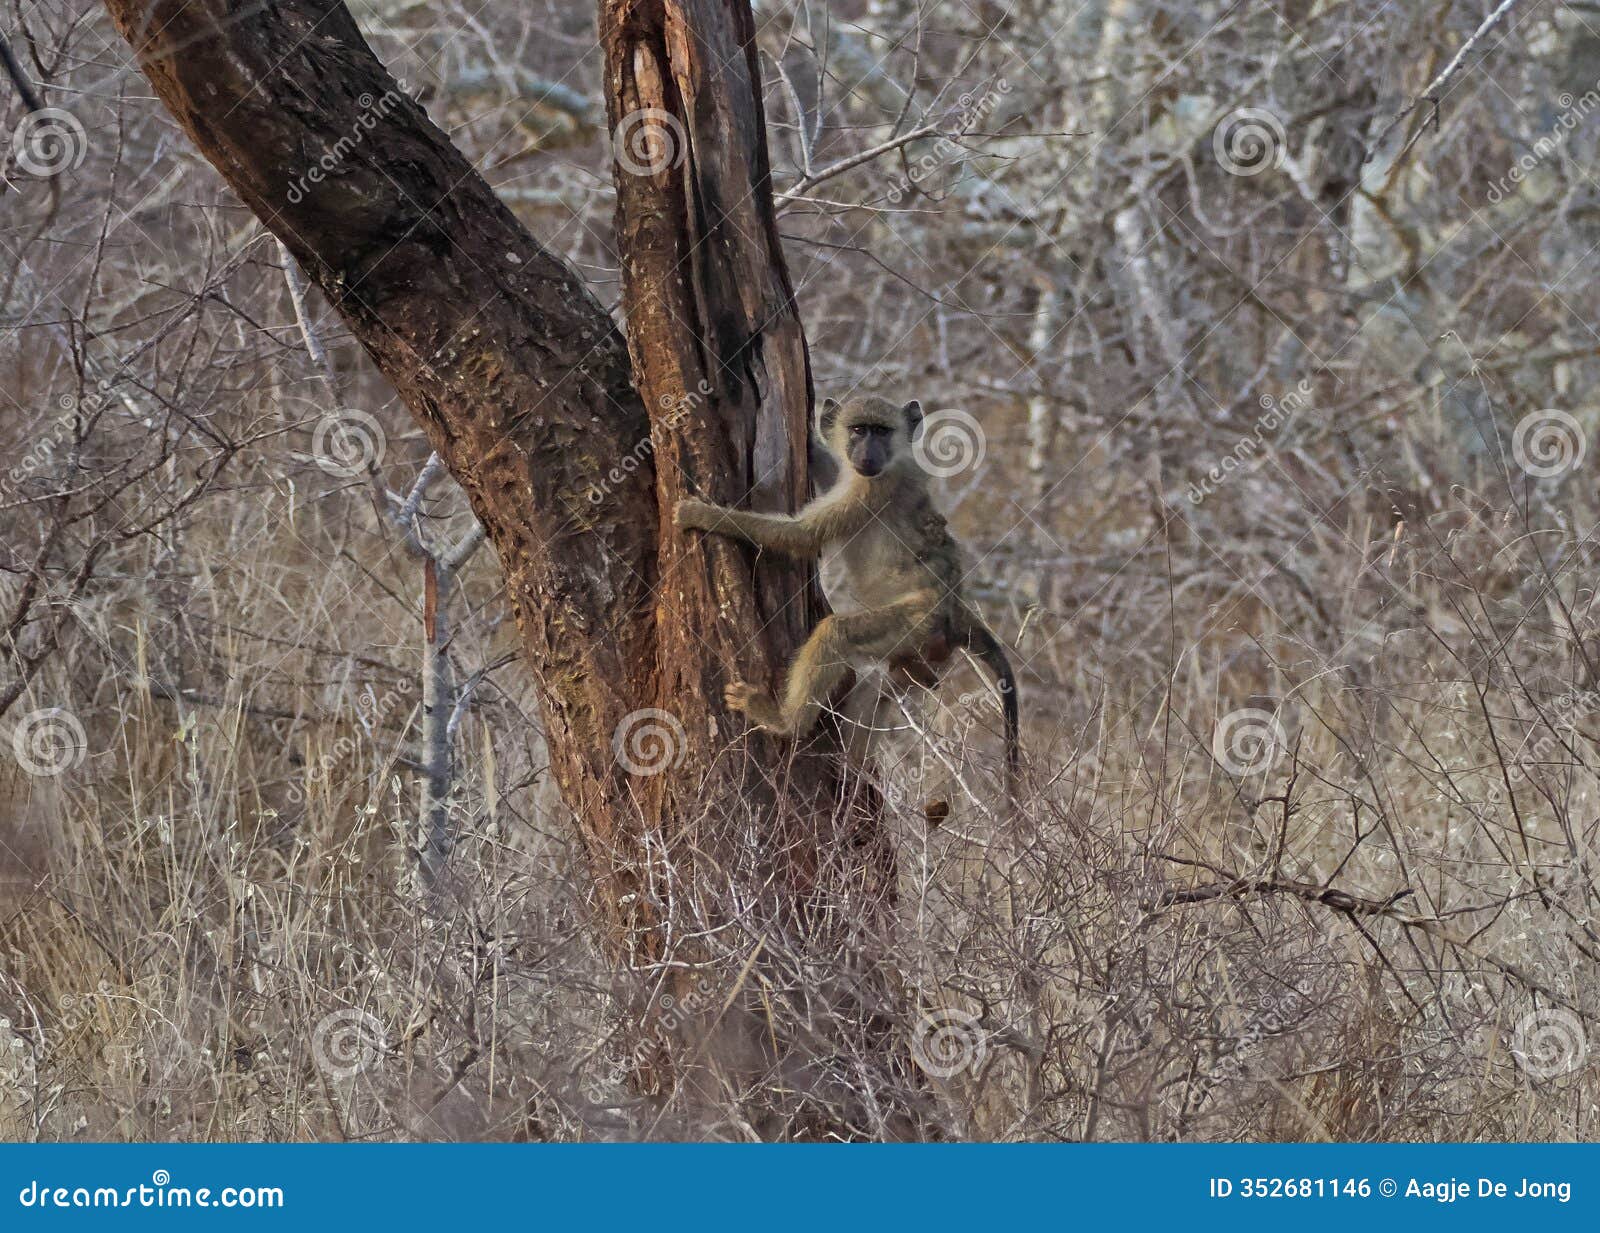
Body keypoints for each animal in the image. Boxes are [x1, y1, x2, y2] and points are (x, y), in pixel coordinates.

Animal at [675, 394, 1019, 796]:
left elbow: (802, 535)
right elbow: (831, 479)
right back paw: (852, 767)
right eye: (858, 430)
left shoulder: (868, 490)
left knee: (835, 633)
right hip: (917, 653)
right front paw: (813, 442)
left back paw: (785, 724)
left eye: (881, 431)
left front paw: (701, 514)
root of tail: (956, 612)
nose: (868, 454)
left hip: (915, 622)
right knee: (881, 685)